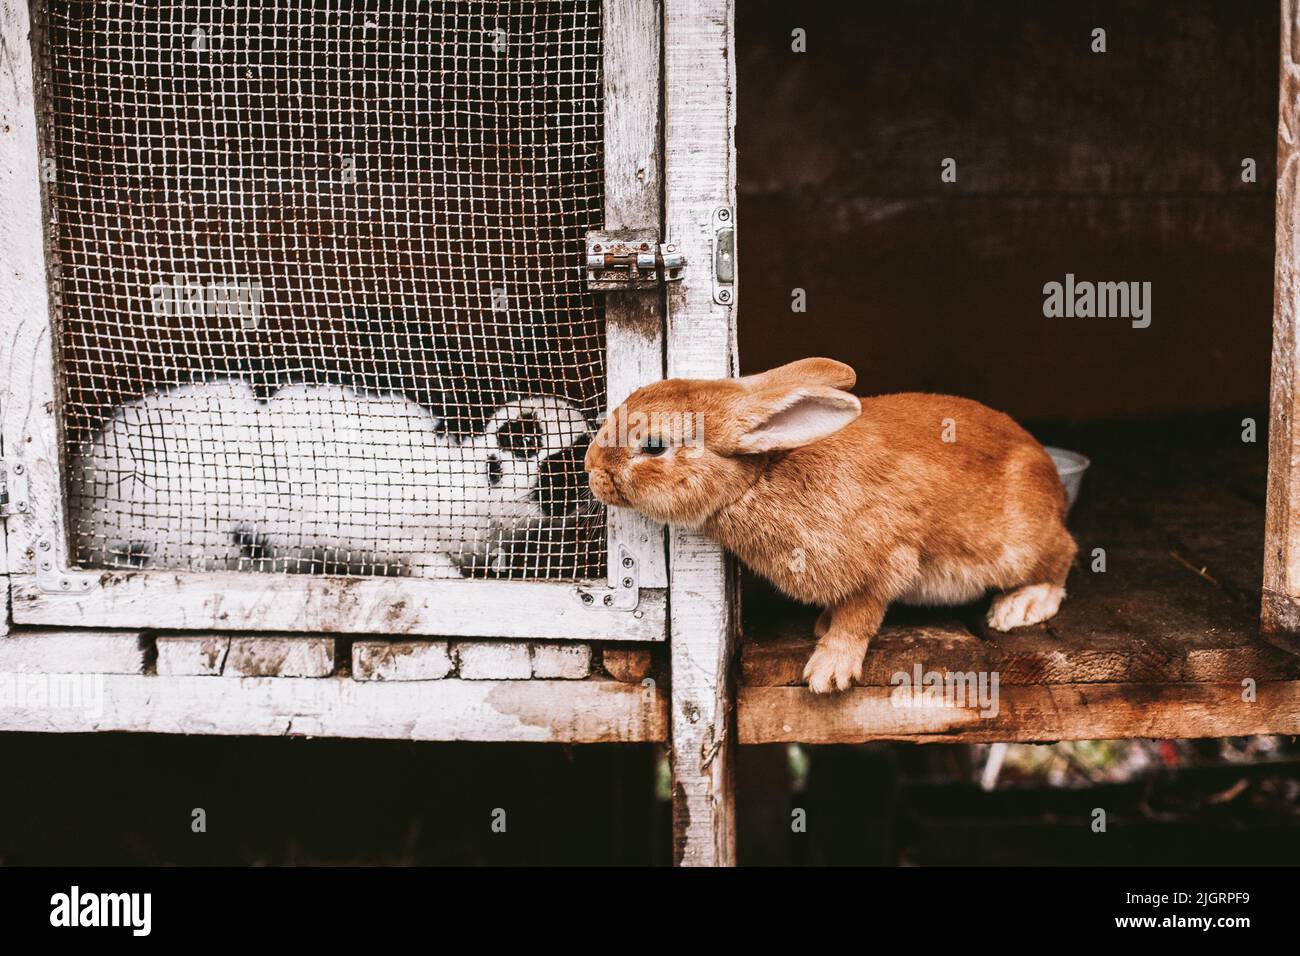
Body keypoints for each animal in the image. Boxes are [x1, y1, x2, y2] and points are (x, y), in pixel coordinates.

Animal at [584, 357, 1078, 694]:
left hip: (1020, 546)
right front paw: (823, 624)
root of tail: (1053, 484)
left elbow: (860, 615)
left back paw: (1021, 606)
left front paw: (829, 669)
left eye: (653, 446)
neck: (758, 479)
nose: (590, 467)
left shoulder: (888, 562)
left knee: (1062, 558)